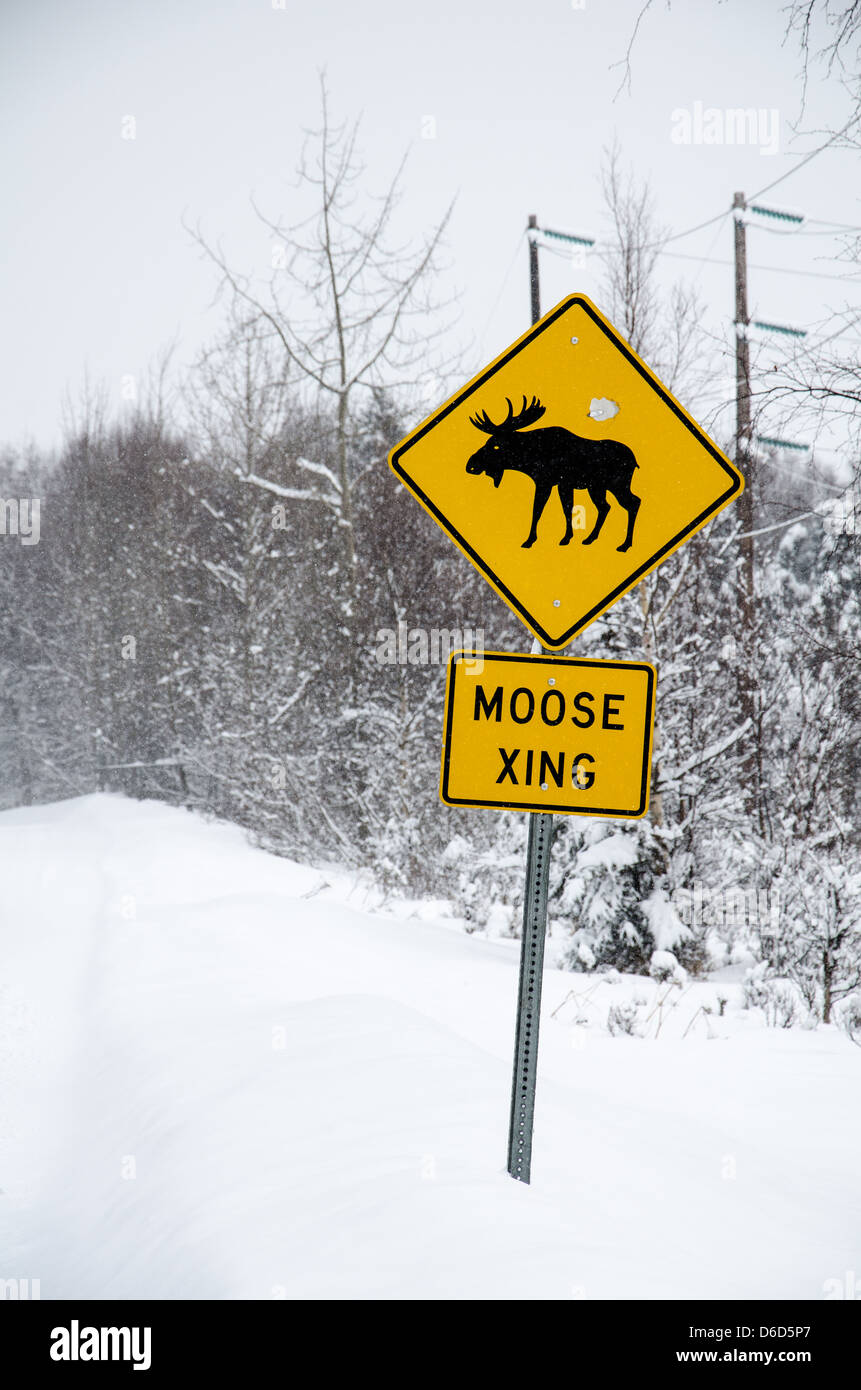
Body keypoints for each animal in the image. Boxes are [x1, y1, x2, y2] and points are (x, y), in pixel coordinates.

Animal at [466, 395, 641, 551]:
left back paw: (625, 545)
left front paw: (552, 539)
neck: (530, 458)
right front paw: (547, 539)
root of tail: (634, 461)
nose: (470, 465)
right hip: (597, 487)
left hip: (617, 484)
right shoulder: (551, 483)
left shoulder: (555, 482)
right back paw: (590, 538)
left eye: (495, 446)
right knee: (605, 507)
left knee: (633, 502)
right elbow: (547, 509)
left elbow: (553, 509)